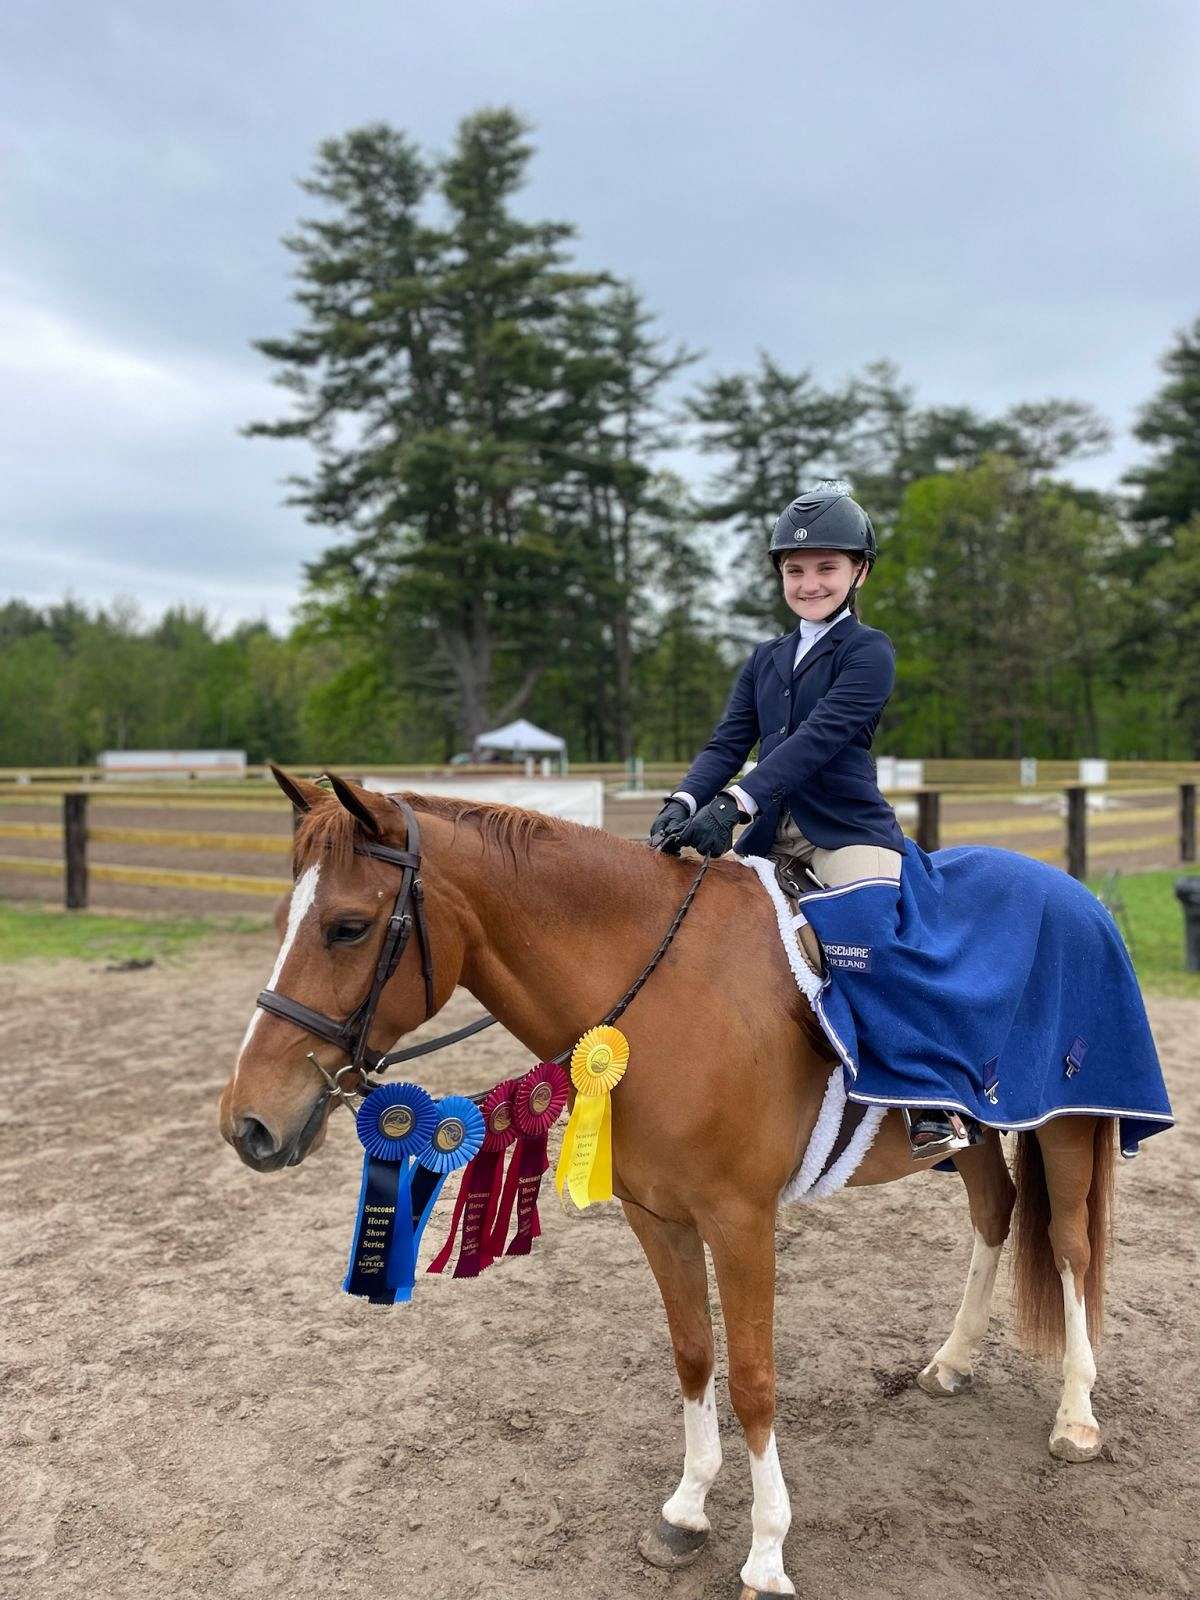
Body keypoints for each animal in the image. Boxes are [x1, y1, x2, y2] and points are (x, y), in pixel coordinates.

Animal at [219, 769, 1115, 1600]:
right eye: (281, 923)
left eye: (347, 927)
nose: (247, 1125)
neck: (667, 995)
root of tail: (1074, 893)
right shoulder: (657, 1215)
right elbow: (693, 1356)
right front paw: (685, 1512)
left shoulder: (741, 1222)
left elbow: (753, 1381)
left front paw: (766, 1554)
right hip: (980, 1129)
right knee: (995, 1215)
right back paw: (953, 1362)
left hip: (1067, 1122)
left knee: (1070, 1248)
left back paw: (1076, 1417)